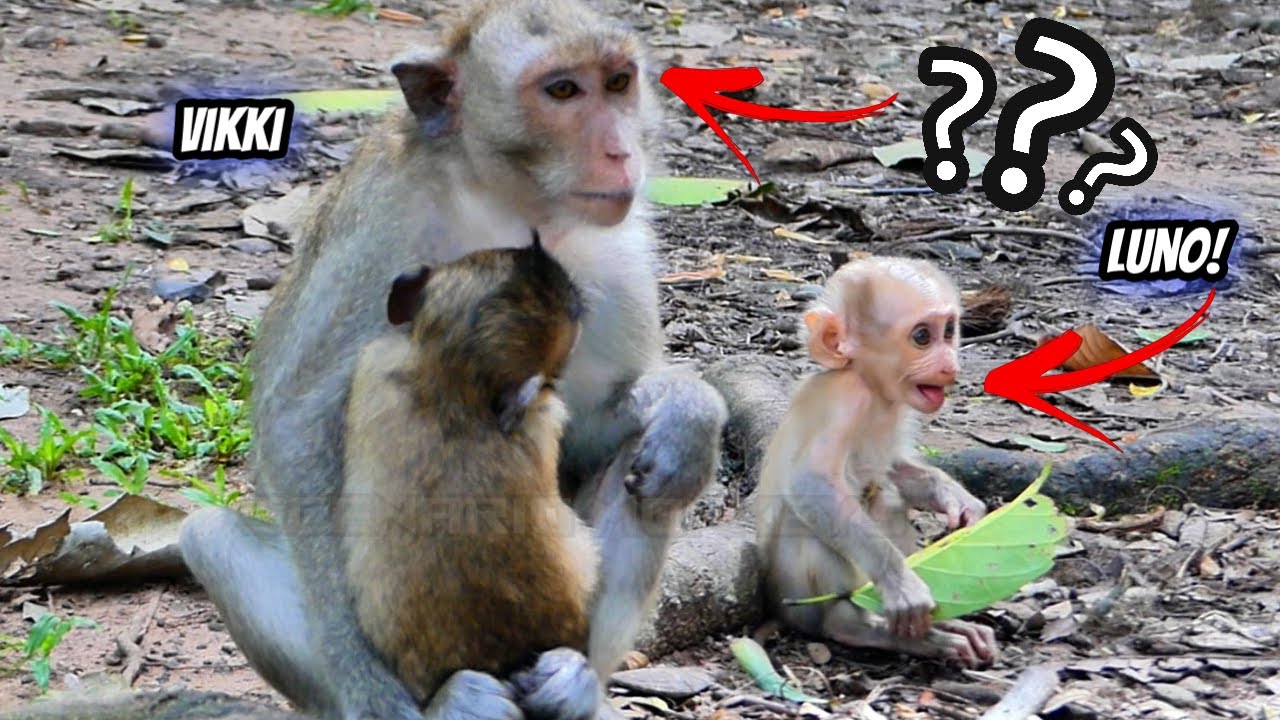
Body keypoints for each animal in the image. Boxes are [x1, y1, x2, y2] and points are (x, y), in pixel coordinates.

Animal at [754, 256, 997, 666]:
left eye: (949, 331)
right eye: (922, 337)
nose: (950, 365)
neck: (874, 390)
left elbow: (894, 468)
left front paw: (953, 497)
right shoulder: (845, 398)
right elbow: (810, 484)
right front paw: (899, 580)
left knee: (885, 496)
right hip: (798, 598)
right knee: (809, 522)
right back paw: (855, 624)